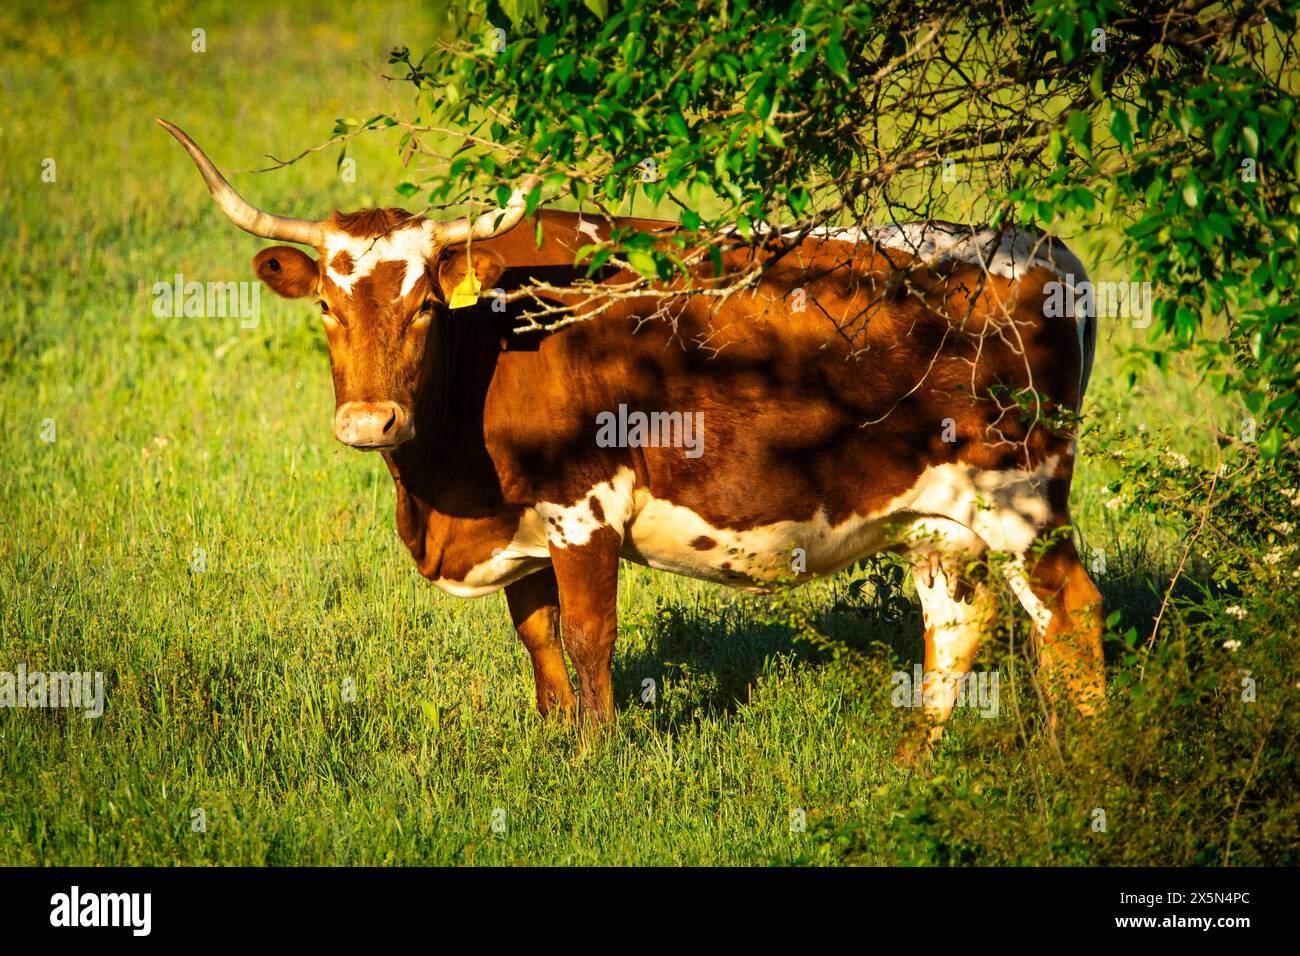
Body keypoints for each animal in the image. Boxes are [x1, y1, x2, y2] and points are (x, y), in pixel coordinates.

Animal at [159, 118, 1104, 740]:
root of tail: (1040, 248)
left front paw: (596, 761)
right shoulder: (524, 526)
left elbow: (589, 640)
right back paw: (916, 766)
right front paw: (552, 750)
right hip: (938, 519)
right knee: (956, 625)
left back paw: (1082, 767)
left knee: (1069, 614)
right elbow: (539, 639)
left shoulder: (584, 508)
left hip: (1019, 498)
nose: (369, 420)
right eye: (326, 305)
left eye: (426, 304)